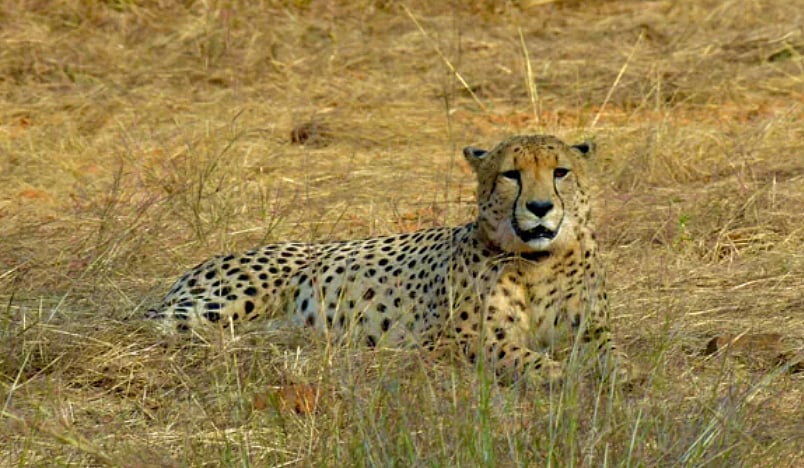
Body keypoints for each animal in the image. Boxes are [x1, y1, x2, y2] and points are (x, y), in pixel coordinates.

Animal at [147, 134, 628, 383]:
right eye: (511, 174)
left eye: (560, 172)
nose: (541, 208)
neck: (537, 262)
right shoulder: (458, 340)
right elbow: (520, 356)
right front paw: (559, 374)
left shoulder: (590, 328)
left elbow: (611, 352)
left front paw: (620, 371)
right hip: (222, 304)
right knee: (151, 323)